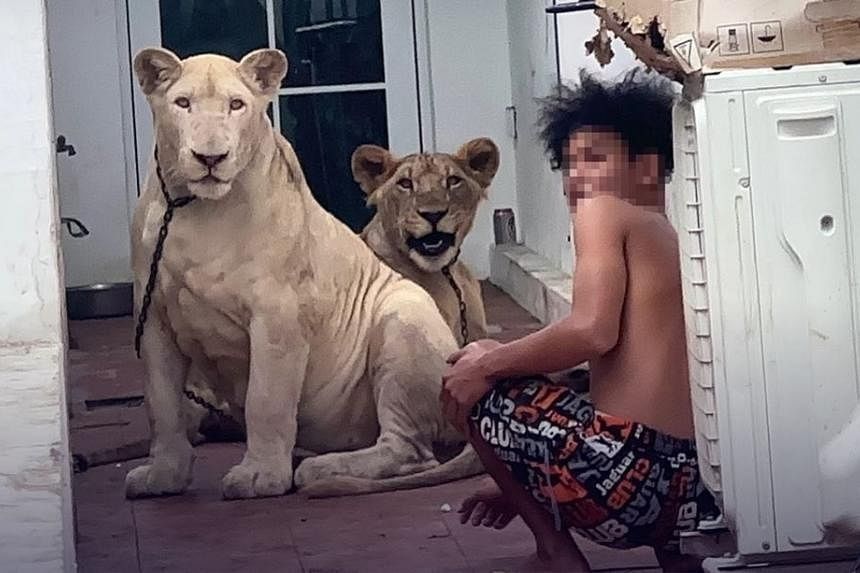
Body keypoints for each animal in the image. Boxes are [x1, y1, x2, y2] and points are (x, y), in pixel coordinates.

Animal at [125, 46, 482, 500]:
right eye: (183, 103)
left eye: (236, 105)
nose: (210, 158)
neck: (194, 209)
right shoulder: (153, 320)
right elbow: (162, 405)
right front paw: (163, 476)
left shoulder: (278, 317)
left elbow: (266, 400)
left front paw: (260, 476)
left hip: (403, 319)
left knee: (409, 451)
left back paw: (317, 468)